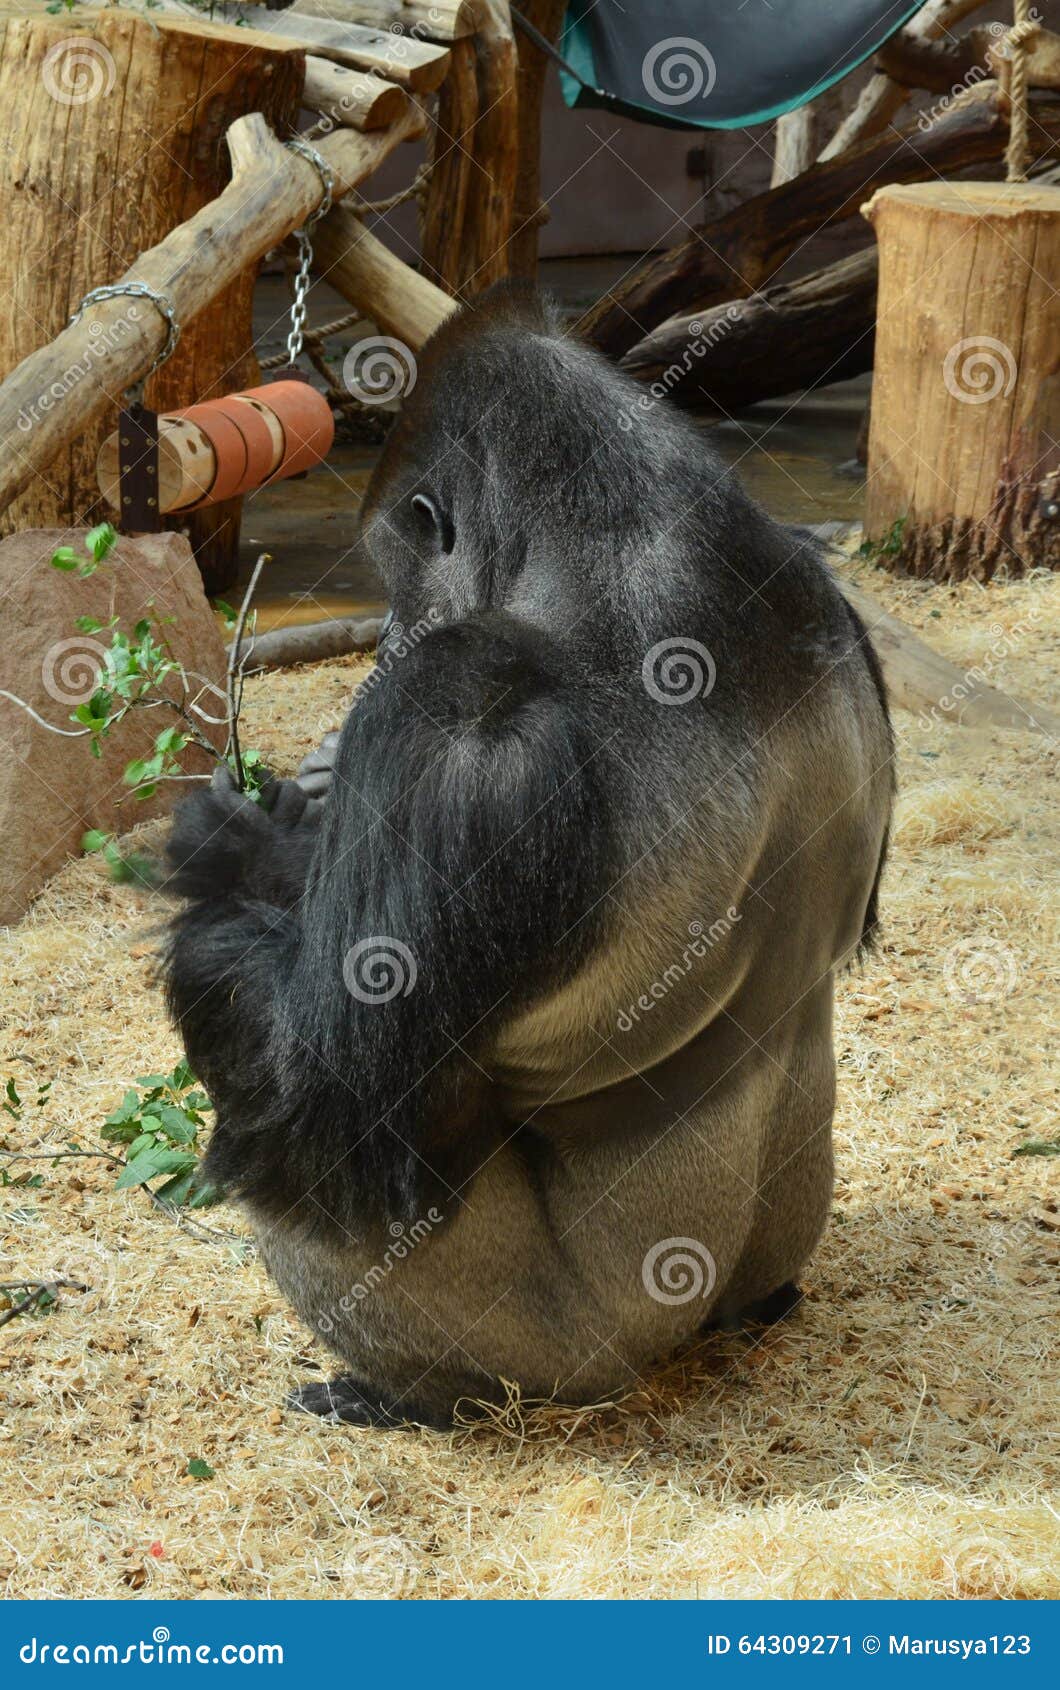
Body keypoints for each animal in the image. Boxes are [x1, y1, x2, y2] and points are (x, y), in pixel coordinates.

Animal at [162, 284, 893, 1431]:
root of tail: (680, 1343)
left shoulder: (460, 706)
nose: (386, 644)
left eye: (401, 578)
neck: (642, 548)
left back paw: (398, 1396)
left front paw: (238, 852)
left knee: (304, 1155)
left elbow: (313, 1098)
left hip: (559, 1361)